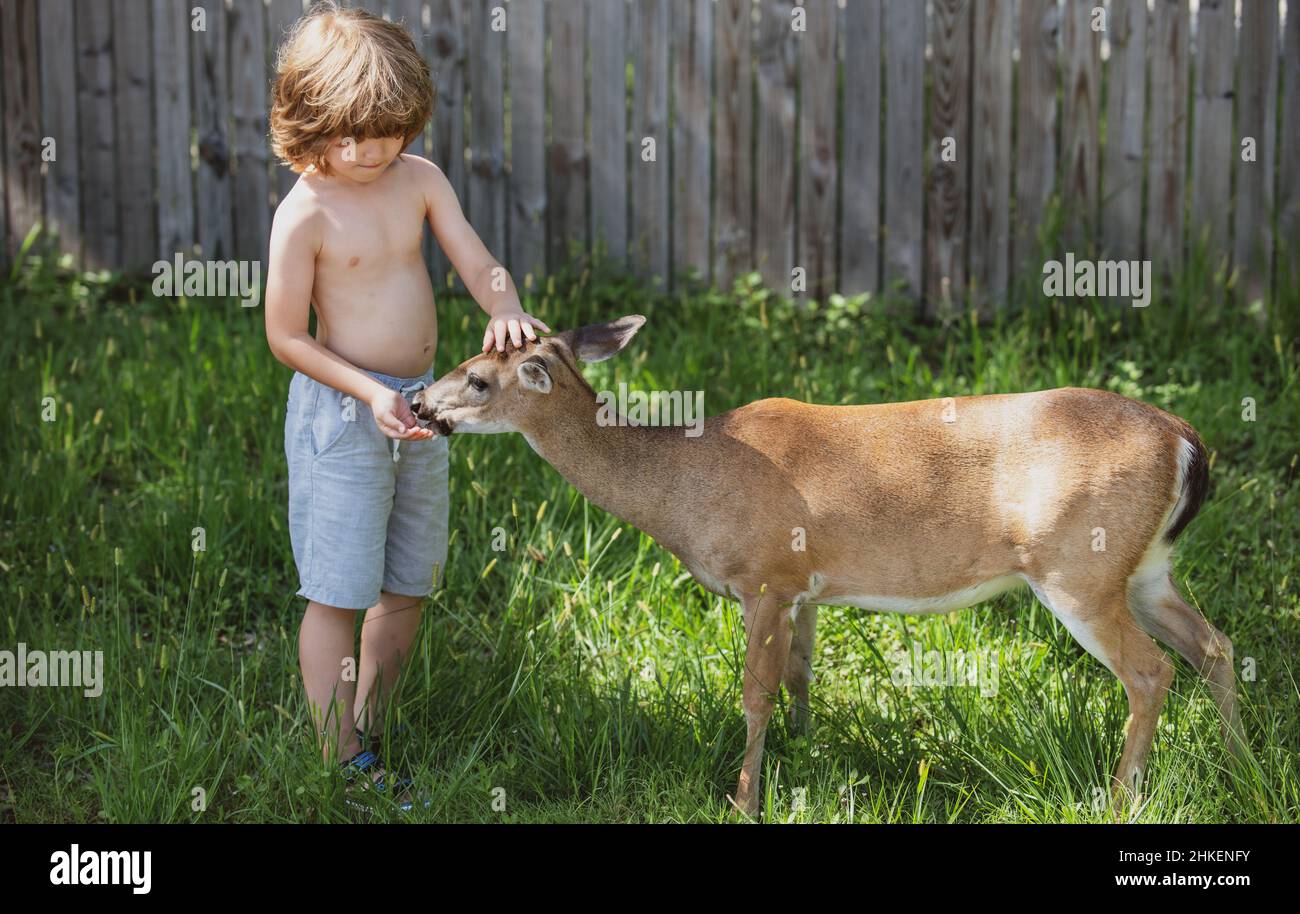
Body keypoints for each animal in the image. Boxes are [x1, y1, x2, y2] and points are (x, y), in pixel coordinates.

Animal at [411, 315, 1243, 818]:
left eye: (478, 378)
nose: (420, 403)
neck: (686, 483)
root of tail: (1185, 440)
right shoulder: (807, 586)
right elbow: (802, 677)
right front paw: (807, 756)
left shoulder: (765, 575)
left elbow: (755, 693)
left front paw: (743, 799)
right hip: (1145, 567)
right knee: (1215, 646)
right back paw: (1239, 770)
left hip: (1078, 567)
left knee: (1151, 671)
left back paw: (1120, 800)